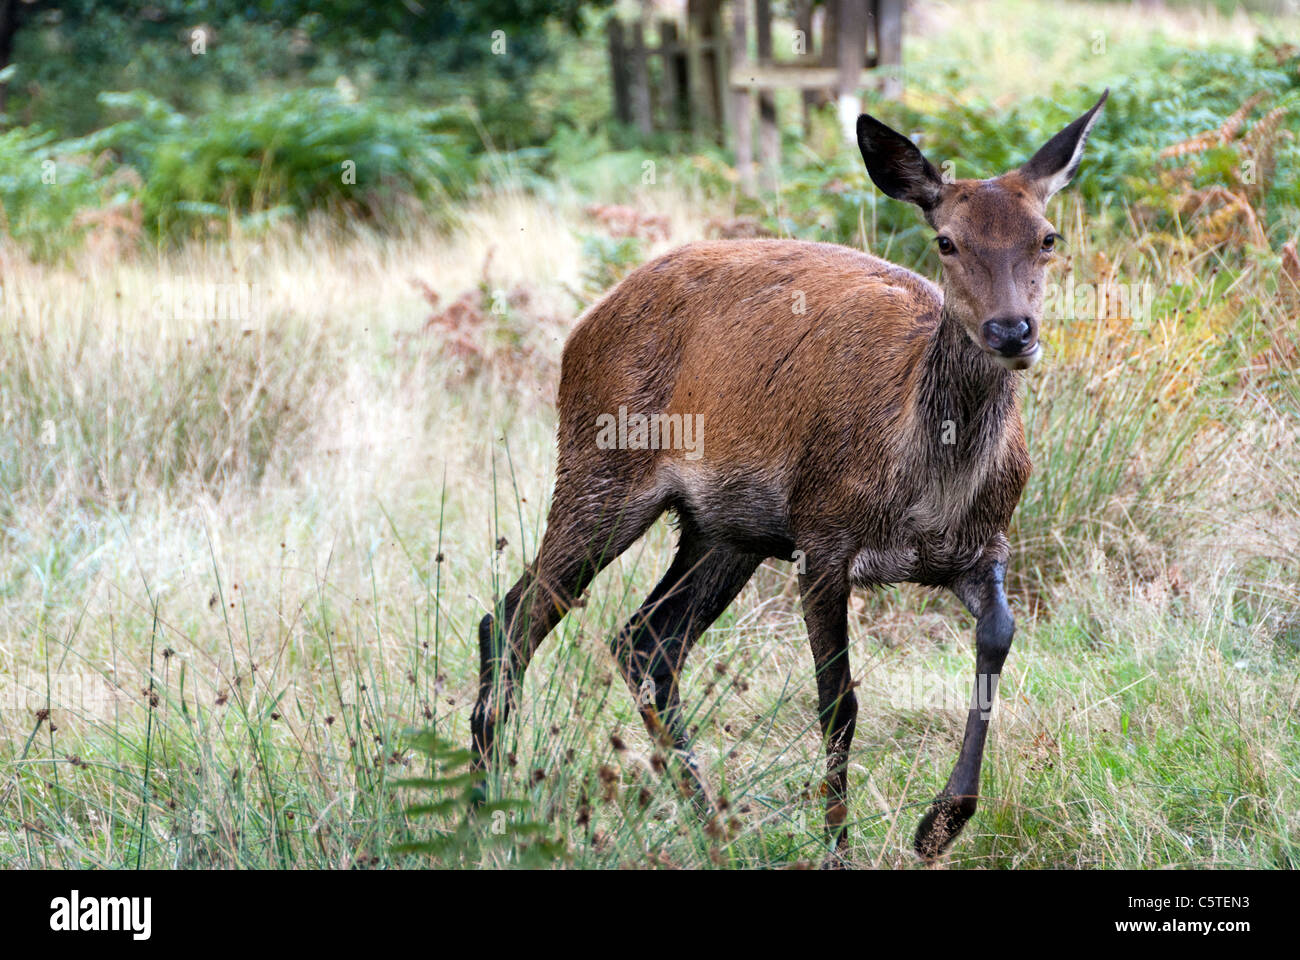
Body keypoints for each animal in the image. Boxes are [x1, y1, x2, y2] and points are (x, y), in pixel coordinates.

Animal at [473, 89, 1112, 858]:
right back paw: (481, 803)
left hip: (723, 529)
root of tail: (582, 326)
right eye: (946, 241)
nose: (1012, 331)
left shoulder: (984, 543)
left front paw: (940, 823)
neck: (926, 493)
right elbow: (837, 701)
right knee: (511, 619)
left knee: (645, 641)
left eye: (1047, 236)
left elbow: (999, 638)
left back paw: (714, 830)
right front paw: (837, 848)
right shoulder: (822, 535)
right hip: (599, 470)